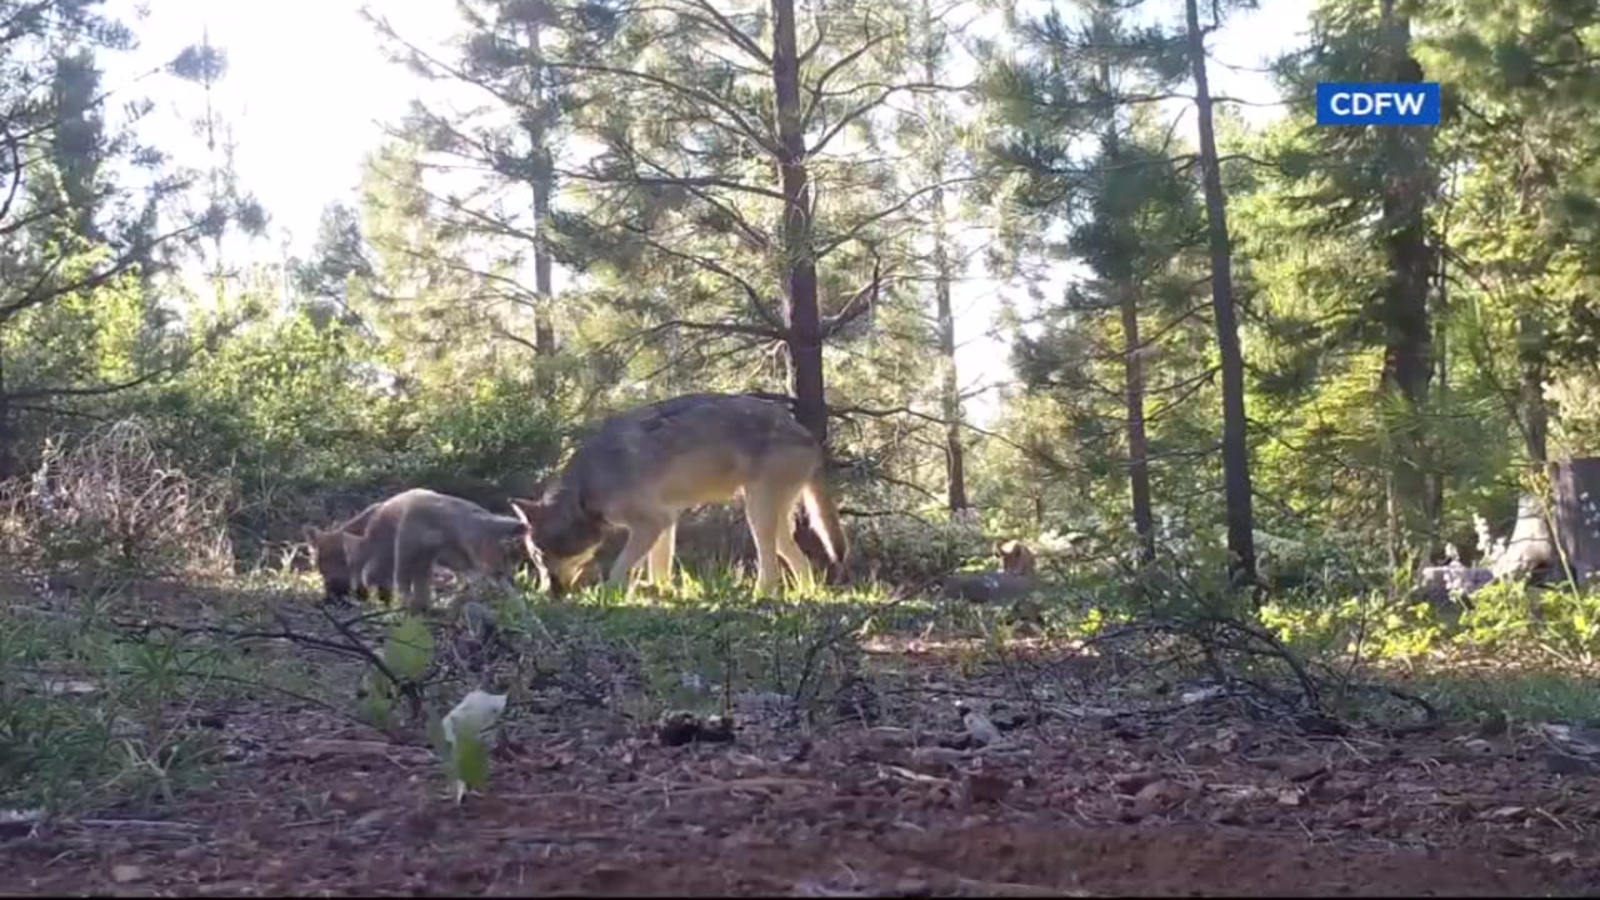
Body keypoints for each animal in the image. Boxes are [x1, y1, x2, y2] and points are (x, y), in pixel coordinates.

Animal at [303, 488, 530, 614]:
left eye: (330, 567)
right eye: (319, 569)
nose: (330, 597)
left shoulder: (382, 560)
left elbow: (376, 581)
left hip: (409, 549)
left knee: (407, 585)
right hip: (458, 558)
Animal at [508, 393, 849, 597]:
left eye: (545, 554)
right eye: (537, 557)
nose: (548, 593)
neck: (586, 487)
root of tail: (808, 435)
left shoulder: (651, 521)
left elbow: (620, 566)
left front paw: (610, 594)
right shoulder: (667, 519)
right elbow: (659, 566)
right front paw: (659, 592)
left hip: (758, 515)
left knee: (774, 563)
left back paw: (762, 594)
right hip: (773, 519)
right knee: (799, 560)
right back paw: (804, 594)